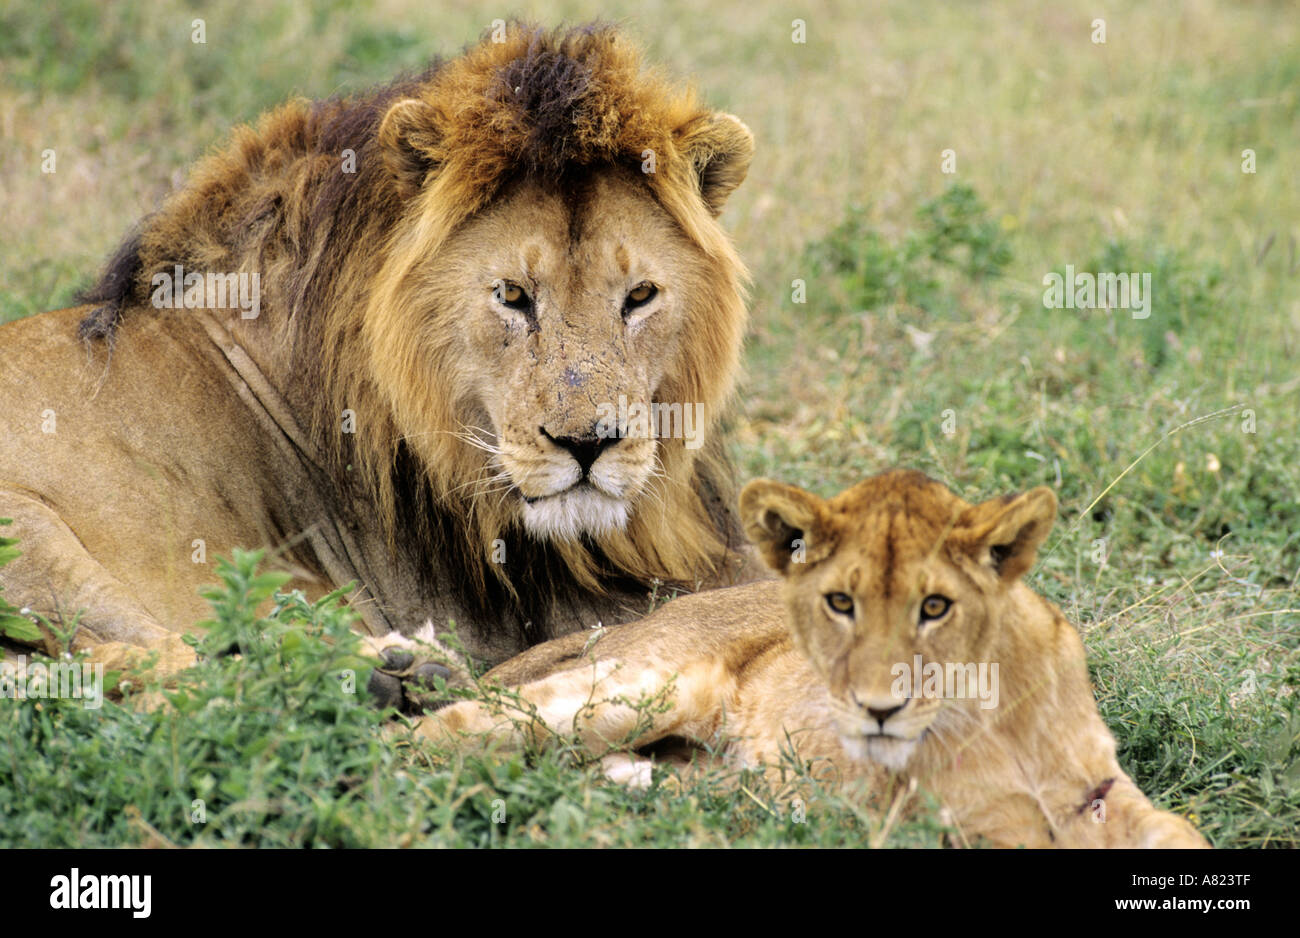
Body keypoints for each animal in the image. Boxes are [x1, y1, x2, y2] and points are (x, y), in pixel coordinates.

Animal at [0, 23, 762, 696]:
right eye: (512, 296)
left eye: (640, 296)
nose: (587, 443)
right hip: (28, 530)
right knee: (142, 658)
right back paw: (384, 672)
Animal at [417, 469, 1209, 848]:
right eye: (839, 603)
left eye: (935, 607)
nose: (877, 709)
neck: (996, 711)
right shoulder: (943, 827)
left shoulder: (1104, 790)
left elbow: (1178, 830)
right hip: (627, 688)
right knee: (434, 738)